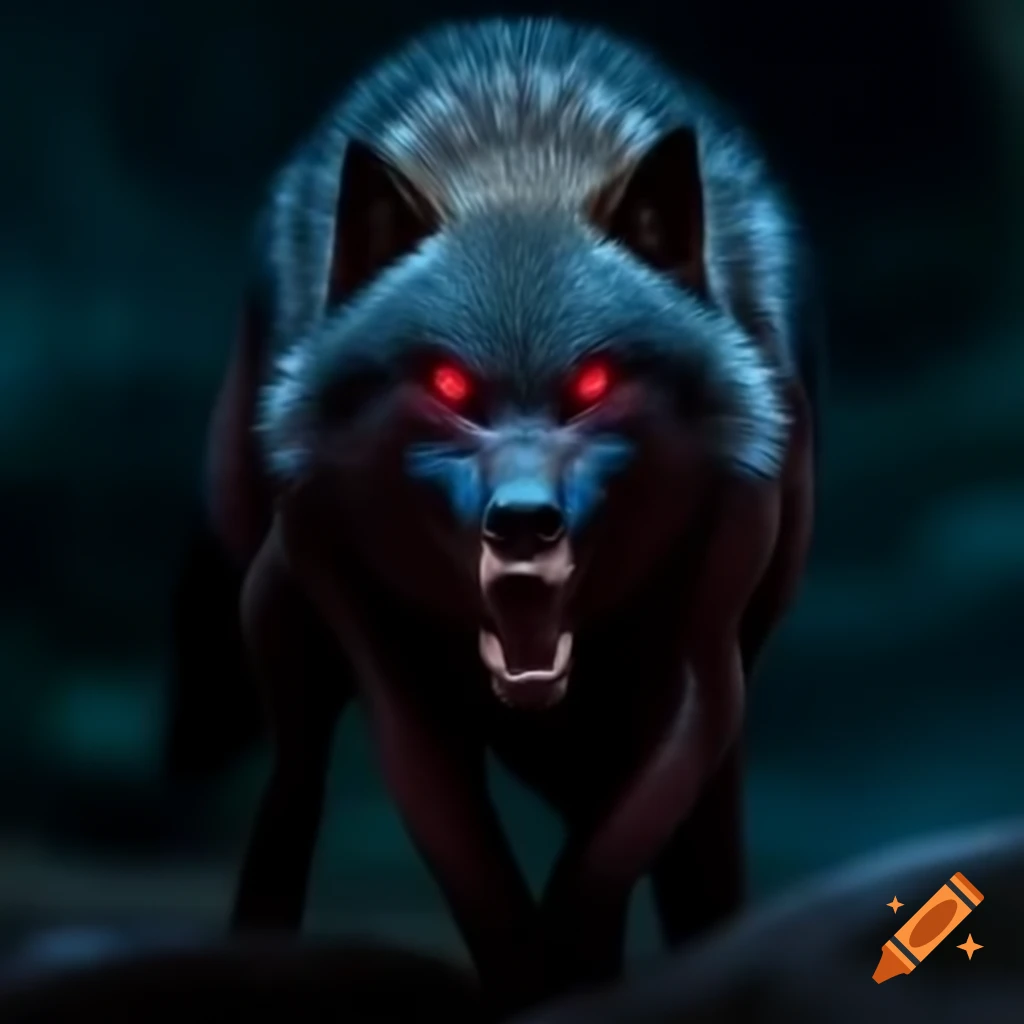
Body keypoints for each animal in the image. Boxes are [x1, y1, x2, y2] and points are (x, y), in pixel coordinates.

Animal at [175, 14, 819, 1013]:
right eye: (448, 387)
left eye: (593, 386)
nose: (523, 521)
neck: (521, 165)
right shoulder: (393, 683)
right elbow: (484, 880)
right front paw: (536, 983)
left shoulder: (700, 670)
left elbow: (603, 855)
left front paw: (588, 975)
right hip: (283, 633)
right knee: (290, 790)